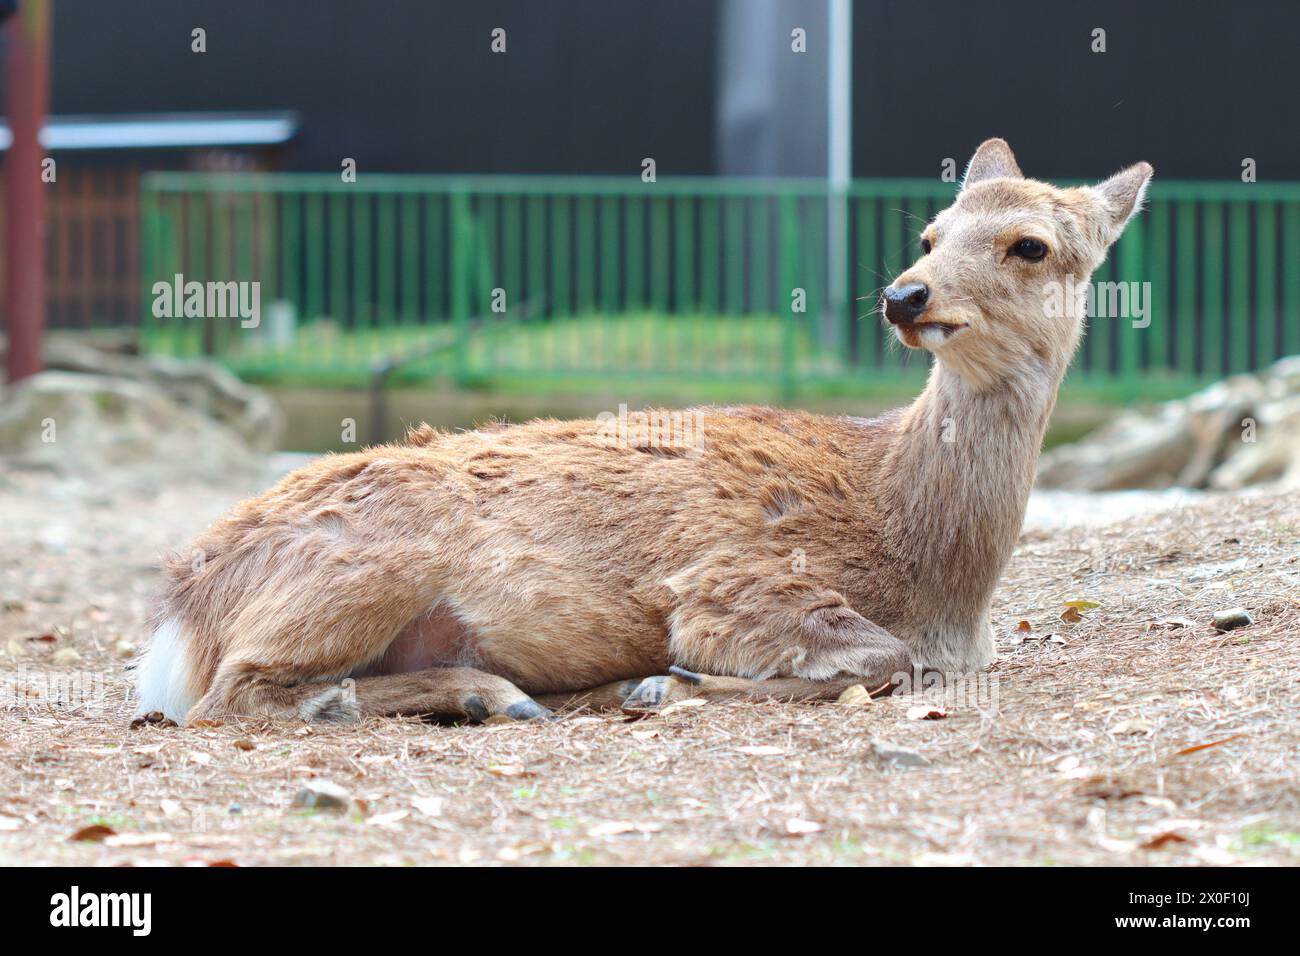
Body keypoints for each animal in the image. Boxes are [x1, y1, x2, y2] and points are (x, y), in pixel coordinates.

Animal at [134, 139, 1152, 725]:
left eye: (1032, 245)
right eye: (932, 233)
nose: (905, 295)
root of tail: (184, 606)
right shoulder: (728, 580)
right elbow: (880, 658)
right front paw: (668, 683)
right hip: (363, 563)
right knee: (231, 695)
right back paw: (485, 696)